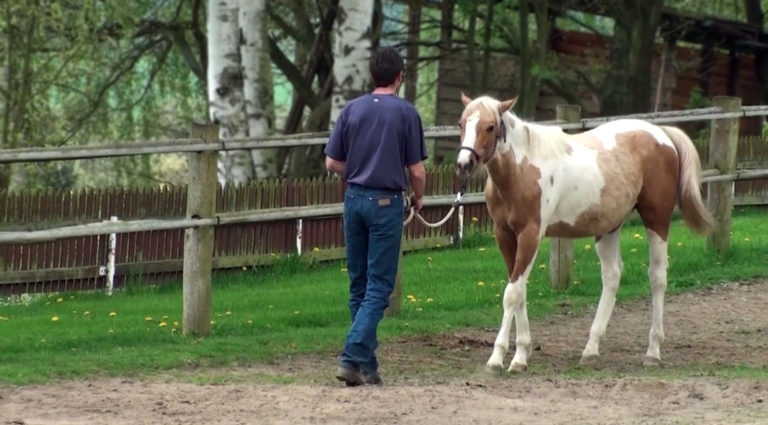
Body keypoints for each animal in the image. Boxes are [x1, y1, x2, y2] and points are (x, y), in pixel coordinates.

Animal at [455, 93, 714, 373]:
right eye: (461, 123)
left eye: (490, 126)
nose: (463, 164)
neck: (521, 170)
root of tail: (662, 134)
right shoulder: (504, 235)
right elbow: (519, 291)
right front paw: (522, 352)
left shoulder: (530, 235)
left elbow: (512, 294)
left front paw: (501, 359)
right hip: (609, 227)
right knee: (612, 276)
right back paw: (591, 350)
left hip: (657, 219)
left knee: (657, 276)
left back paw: (652, 352)